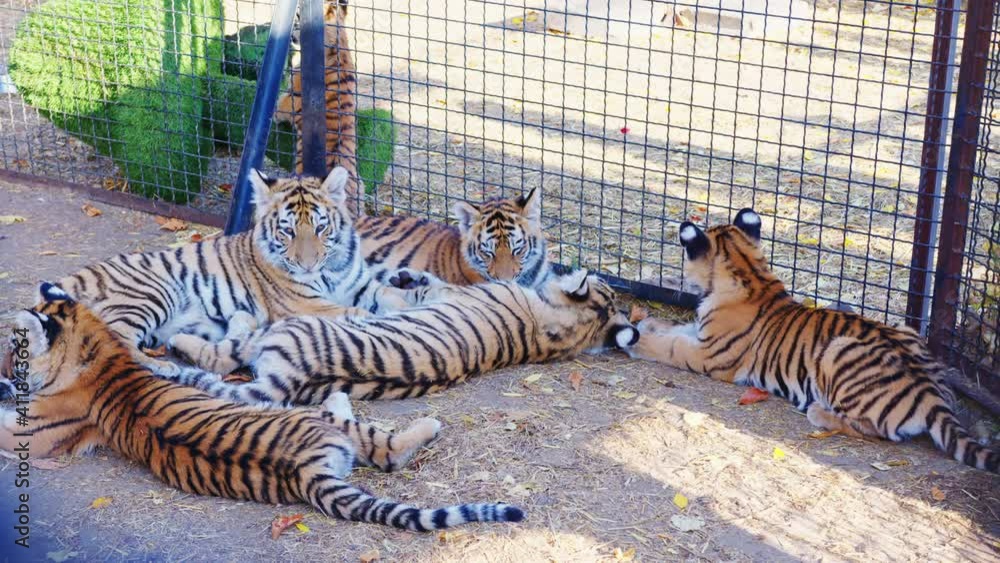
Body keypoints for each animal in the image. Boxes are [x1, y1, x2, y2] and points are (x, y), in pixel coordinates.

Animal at [0, 283, 525, 531]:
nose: (5, 375)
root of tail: (305, 471)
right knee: (384, 447)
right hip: (317, 413)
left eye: (14, 350)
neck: (98, 346)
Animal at [50, 166, 415, 377]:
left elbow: (393, 295)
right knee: (115, 339)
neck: (330, 269)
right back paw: (161, 366)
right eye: (288, 231)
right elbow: (355, 312)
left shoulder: (363, 285)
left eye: (321, 228)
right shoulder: (305, 304)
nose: (308, 264)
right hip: (150, 293)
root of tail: (86, 271)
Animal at [164, 268, 639, 405]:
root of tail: (294, 379)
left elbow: (418, 289)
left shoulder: (449, 293)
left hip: (285, 327)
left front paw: (401, 279)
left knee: (223, 353)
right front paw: (404, 274)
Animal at [626, 208, 999, 473]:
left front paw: (636, 341)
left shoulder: (709, 354)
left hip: (838, 350)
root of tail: (930, 393)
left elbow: (670, 345)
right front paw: (646, 322)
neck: (748, 272)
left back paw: (818, 412)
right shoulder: (702, 335)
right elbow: (674, 328)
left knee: (877, 432)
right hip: (904, 330)